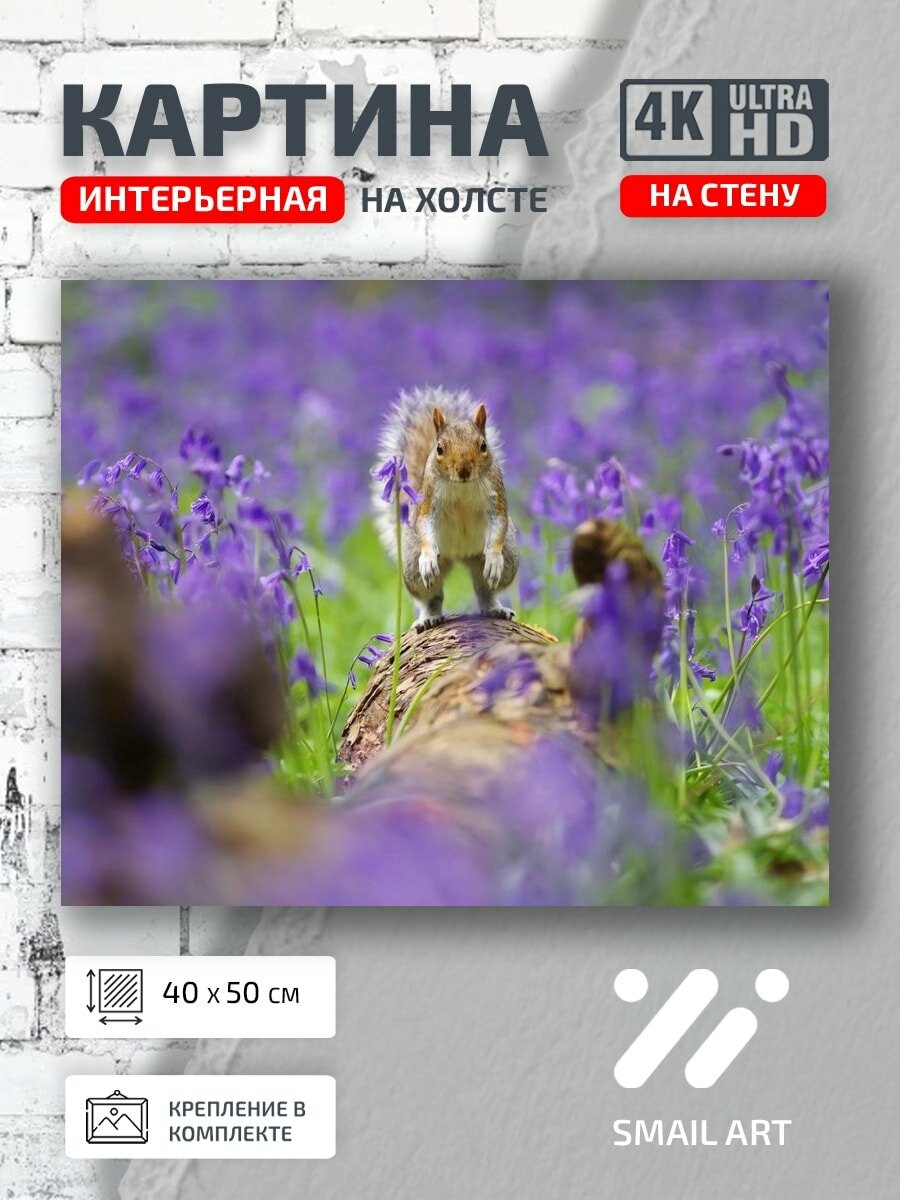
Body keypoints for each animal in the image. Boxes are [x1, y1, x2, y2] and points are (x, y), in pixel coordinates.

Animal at [373, 387, 520, 632]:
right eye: (440, 448)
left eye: (483, 446)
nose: (464, 470)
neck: (462, 486)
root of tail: (460, 555)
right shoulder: (428, 501)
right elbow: (424, 524)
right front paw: (428, 556)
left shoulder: (496, 497)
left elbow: (499, 523)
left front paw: (493, 557)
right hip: (412, 568)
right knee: (431, 597)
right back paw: (429, 617)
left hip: (507, 559)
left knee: (485, 589)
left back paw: (495, 608)